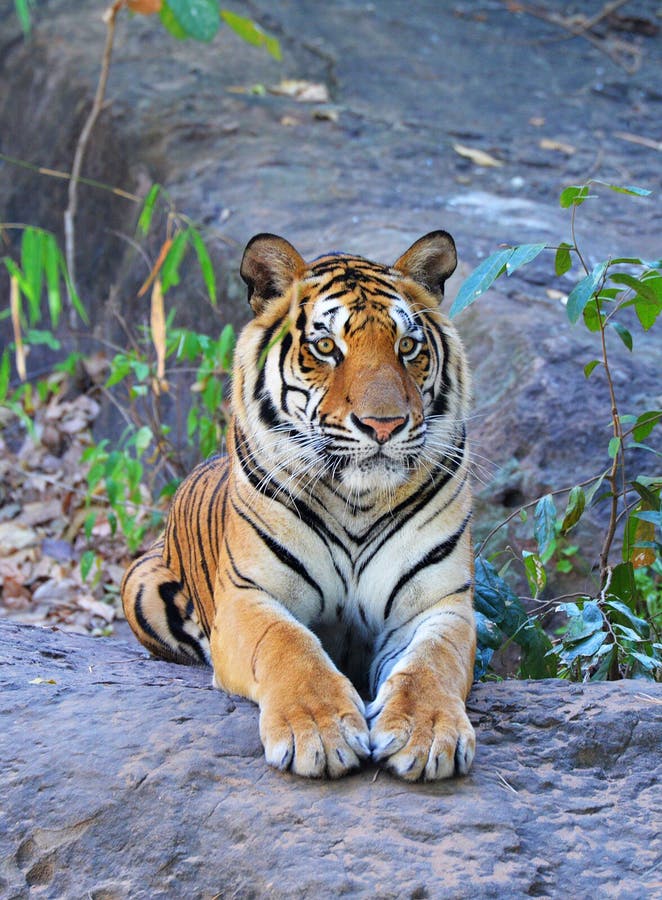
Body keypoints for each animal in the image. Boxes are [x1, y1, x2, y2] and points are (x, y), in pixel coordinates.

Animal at [121, 230, 476, 781]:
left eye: (407, 346)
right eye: (326, 347)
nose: (384, 425)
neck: (357, 502)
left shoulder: (440, 604)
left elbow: (431, 663)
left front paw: (427, 732)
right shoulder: (249, 596)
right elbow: (289, 646)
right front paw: (319, 731)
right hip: (138, 583)